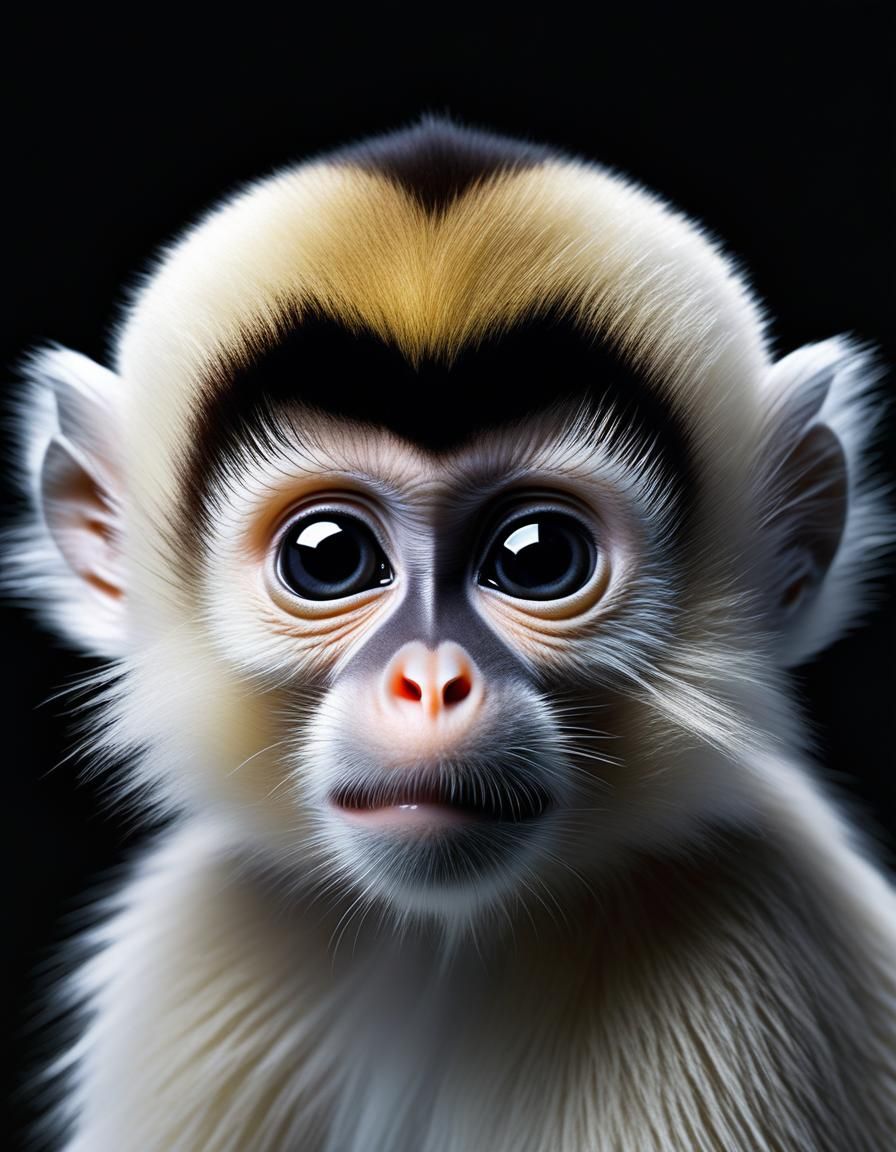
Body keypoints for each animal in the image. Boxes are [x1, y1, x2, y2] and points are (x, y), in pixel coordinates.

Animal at [8, 115, 896, 1151]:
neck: (444, 939)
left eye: (537, 555)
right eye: (328, 556)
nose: (431, 681)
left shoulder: (748, 961)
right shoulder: (200, 952)